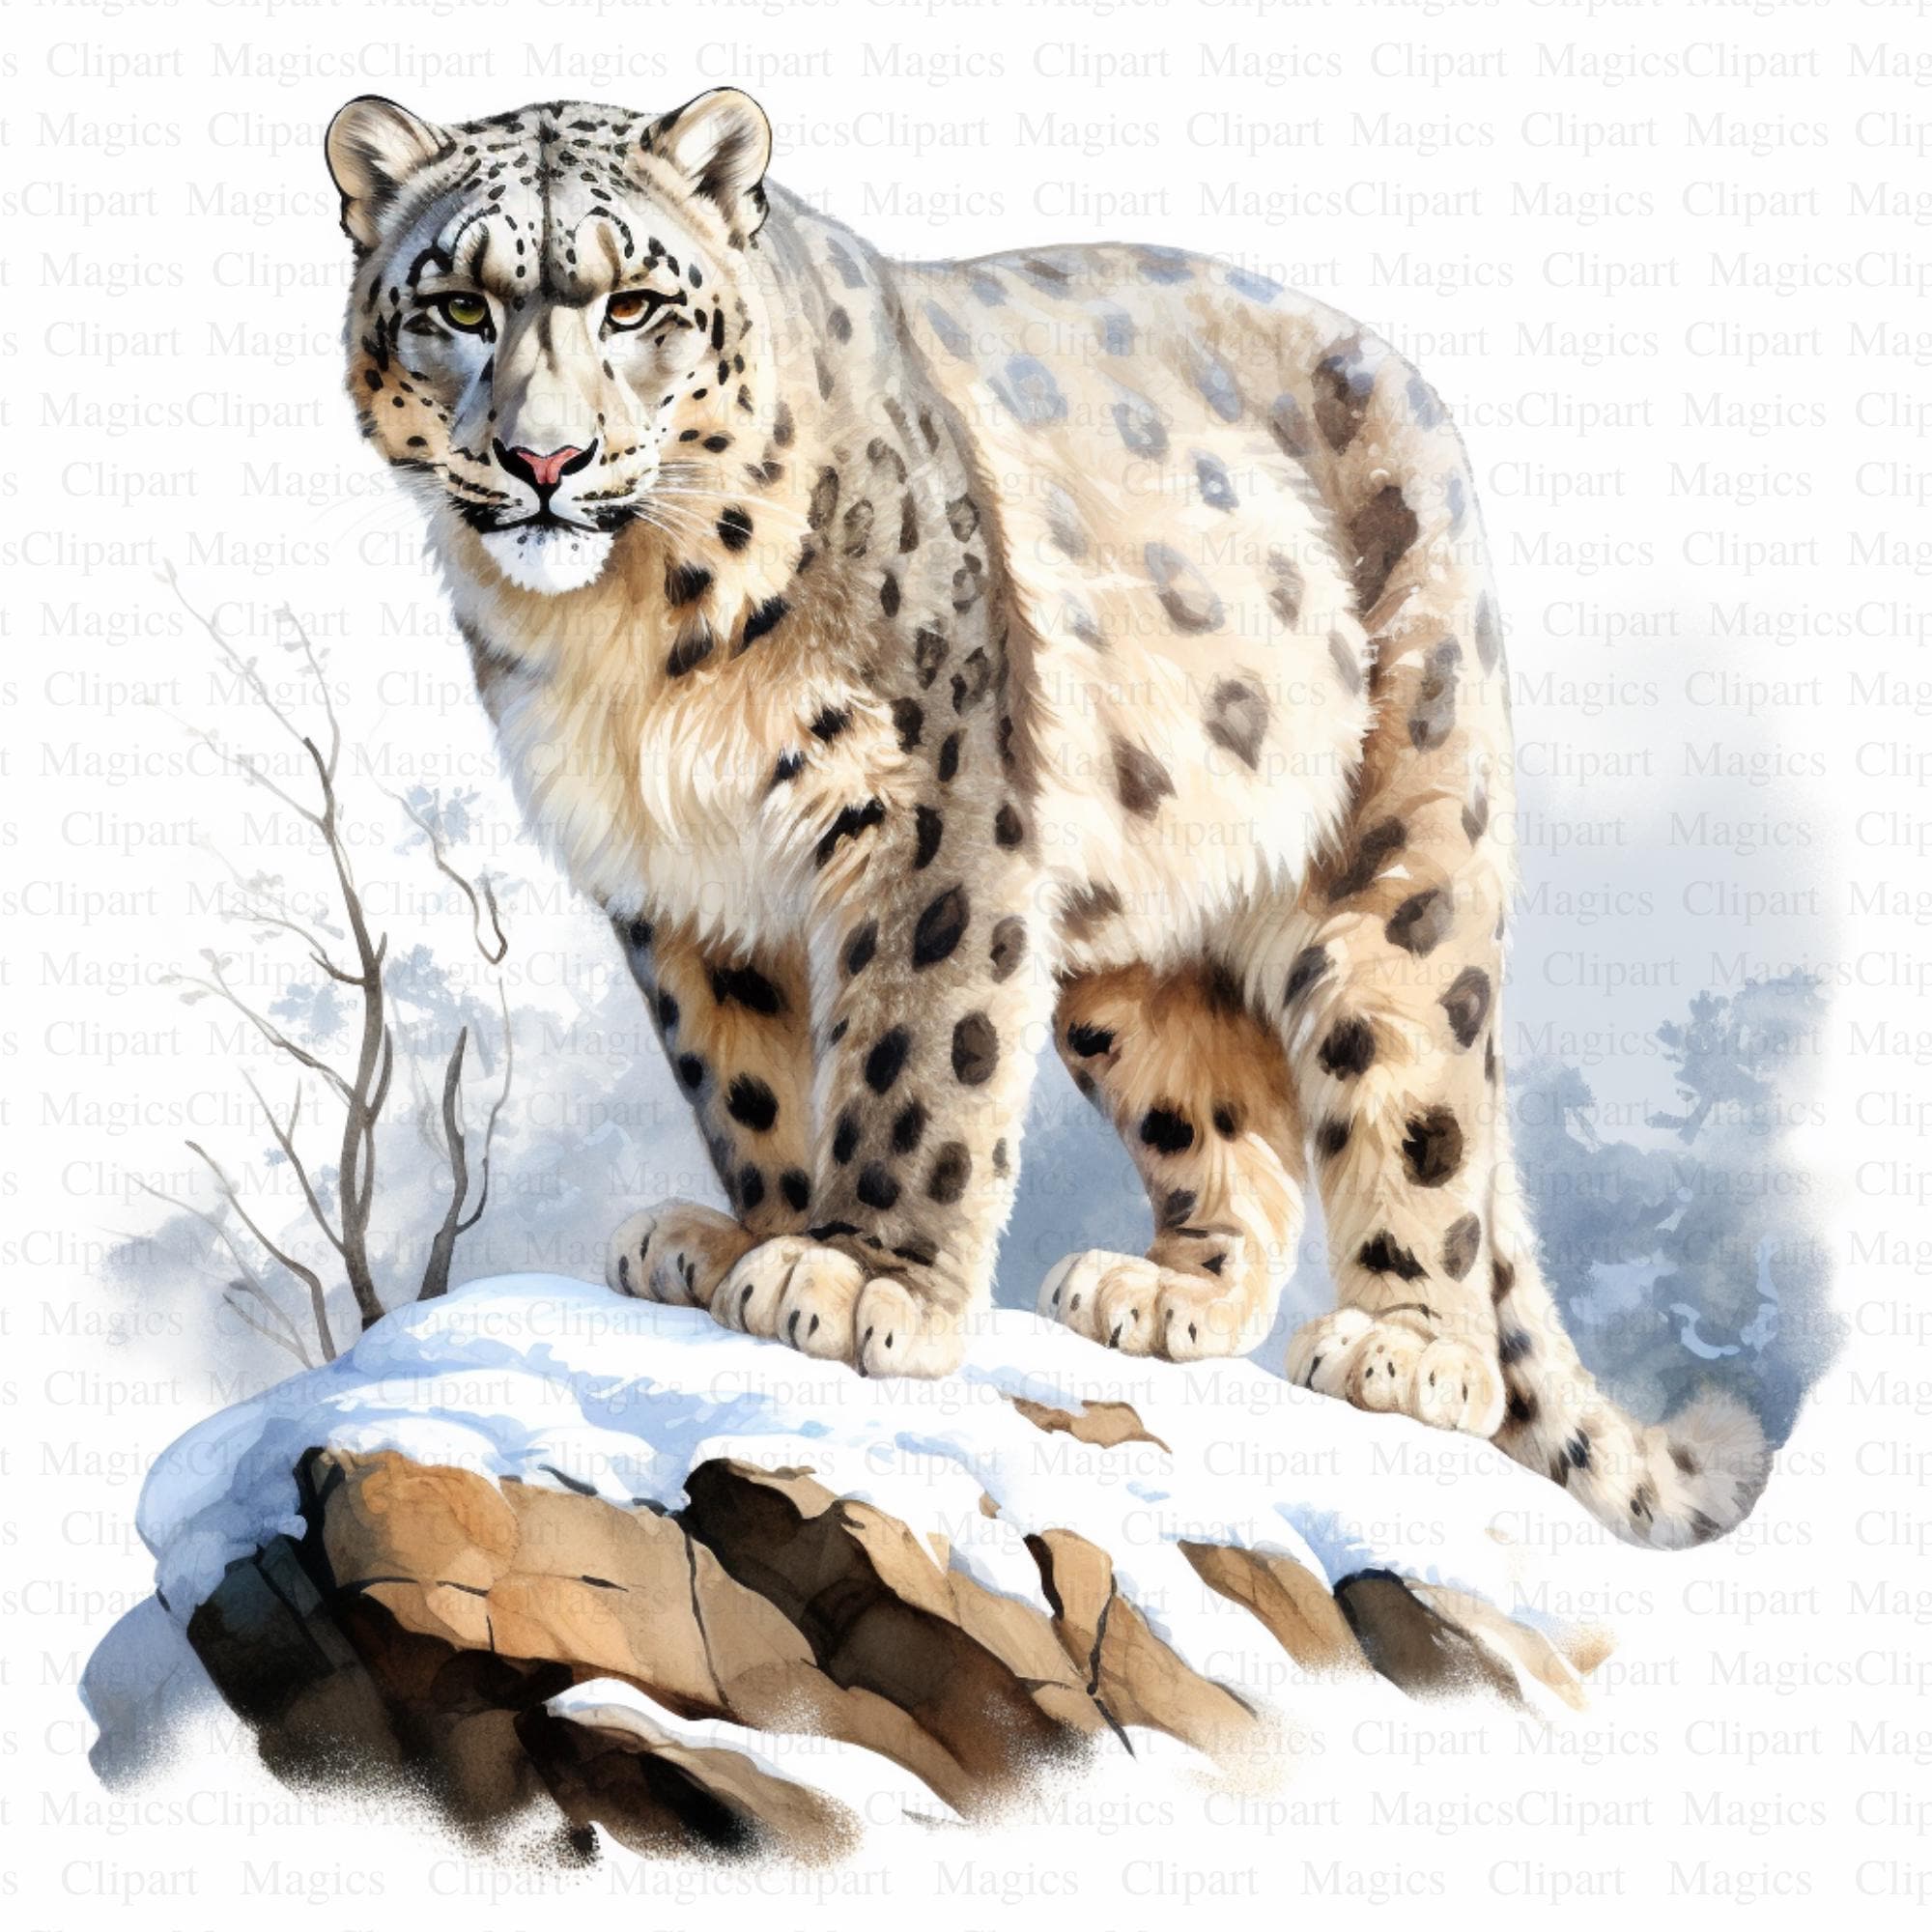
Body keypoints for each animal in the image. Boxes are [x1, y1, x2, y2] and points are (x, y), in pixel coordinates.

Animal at [323, 87, 1768, 1547]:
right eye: (456, 304)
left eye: (631, 305)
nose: (542, 457)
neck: (621, 637)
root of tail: (1404, 381)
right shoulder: (677, 880)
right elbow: (740, 1078)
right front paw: (751, 1235)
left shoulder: (927, 801)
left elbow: (916, 1050)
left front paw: (859, 1277)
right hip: (1134, 939)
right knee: (1234, 1135)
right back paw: (1170, 1292)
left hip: (1404, 846)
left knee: (1421, 1100)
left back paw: (1408, 1345)